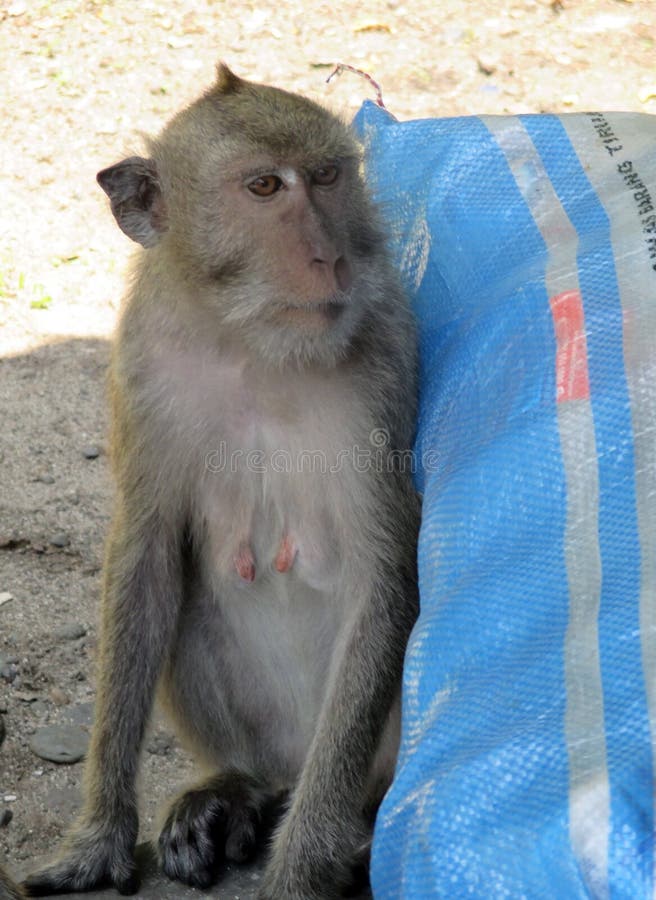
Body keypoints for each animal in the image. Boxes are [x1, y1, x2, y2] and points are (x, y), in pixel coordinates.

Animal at [24, 64, 419, 899]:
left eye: (328, 177)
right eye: (265, 186)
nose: (329, 257)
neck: (250, 343)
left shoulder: (382, 362)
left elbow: (384, 576)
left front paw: (300, 868)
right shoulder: (142, 360)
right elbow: (145, 554)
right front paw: (98, 838)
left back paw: (349, 834)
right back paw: (236, 790)